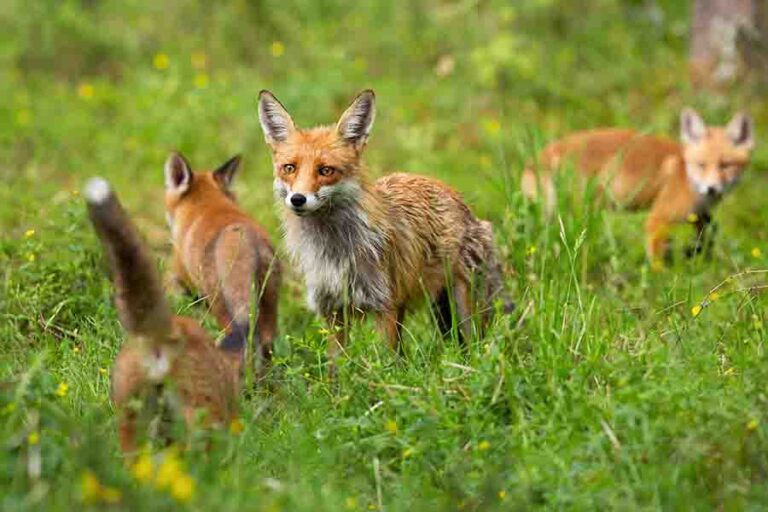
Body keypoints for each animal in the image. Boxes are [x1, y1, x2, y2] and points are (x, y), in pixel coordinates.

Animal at [163, 152, 280, 374]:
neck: (207, 201)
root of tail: (243, 237)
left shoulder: (185, 276)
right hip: (269, 305)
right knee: (266, 348)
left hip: (223, 308)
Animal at [257, 89, 513, 364]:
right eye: (289, 168)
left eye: (326, 170)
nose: (297, 199)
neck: (334, 250)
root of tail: (461, 201)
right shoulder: (333, 310)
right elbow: (337, 368)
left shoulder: (384, 305)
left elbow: (386, 363)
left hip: (464, 307)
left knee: (475, 346)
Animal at [521, 108, 755, 263]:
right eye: (702, 164)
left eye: (726, 165)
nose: (712, 188)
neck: (685, 173)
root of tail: (544, 154)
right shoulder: (658, 218)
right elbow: (657, 262)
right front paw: (660, 281)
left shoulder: (700, 217)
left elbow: (705, 239)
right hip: (576, 213)